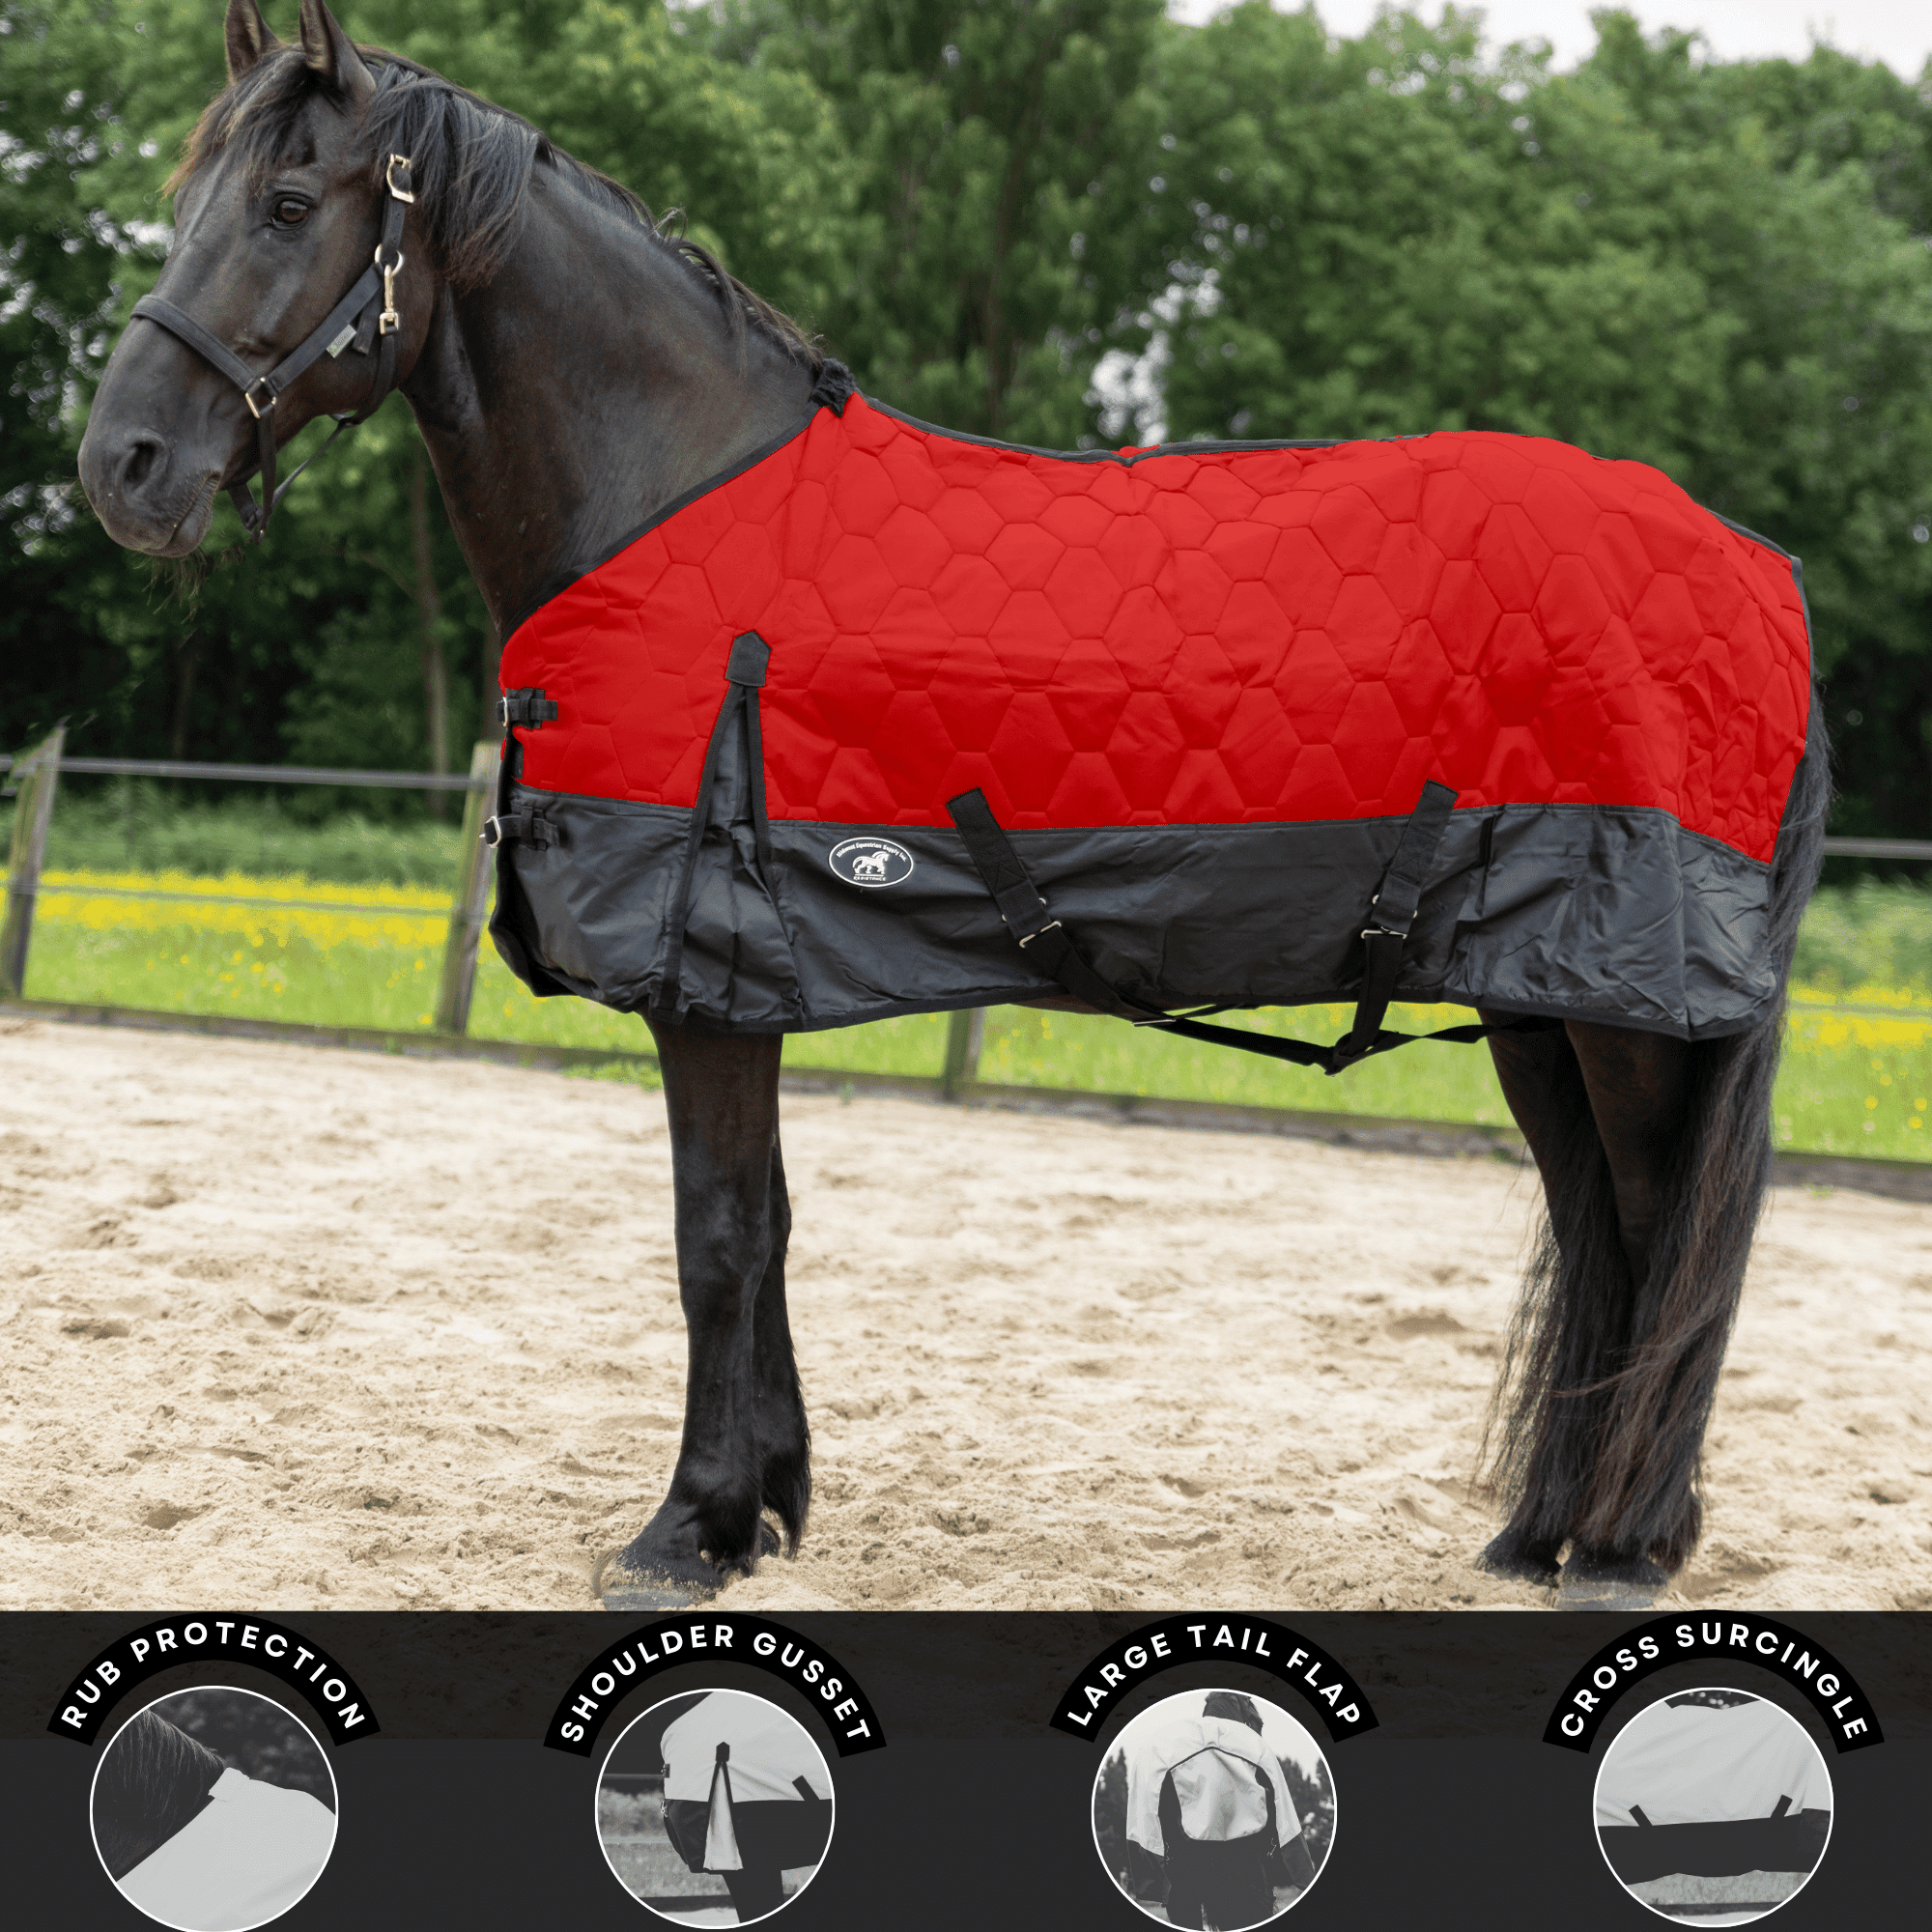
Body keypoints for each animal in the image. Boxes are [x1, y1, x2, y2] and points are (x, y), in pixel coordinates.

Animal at [77, 0, 1828, 1613]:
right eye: (183, 199)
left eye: (287, 205)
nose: (124, 470)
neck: (670, 509)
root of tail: (1752, 565)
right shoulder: (752, 980)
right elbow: (773, 1229)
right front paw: (766, 1506)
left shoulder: (706, 981)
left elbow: (717, 1239)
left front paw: (685, 1530)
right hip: (1542, 1001)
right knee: (1602, 1235)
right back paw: (1540, 1536)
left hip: (1624, 1008)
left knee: (1665, 1231)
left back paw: (1623, 1552)